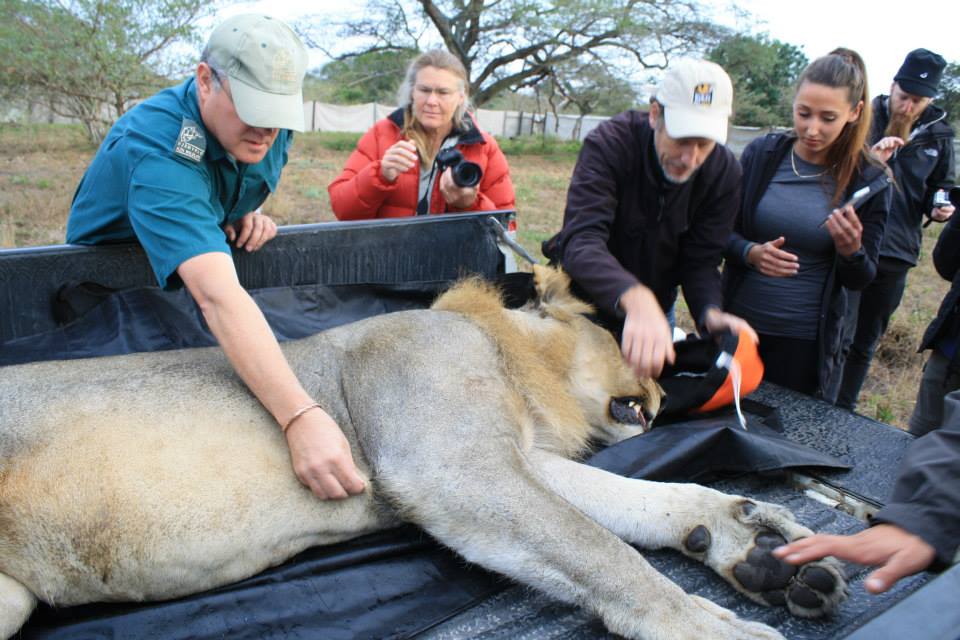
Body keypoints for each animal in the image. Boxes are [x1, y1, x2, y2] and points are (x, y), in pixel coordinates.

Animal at [0, 266, 845, 640]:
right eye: (626, 339)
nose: (668, 394)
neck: (511, 362)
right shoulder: (447, 467)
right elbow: (605, 551)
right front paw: (715, 627)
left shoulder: (513, 461)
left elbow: (643, 506)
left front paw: (753, 545)